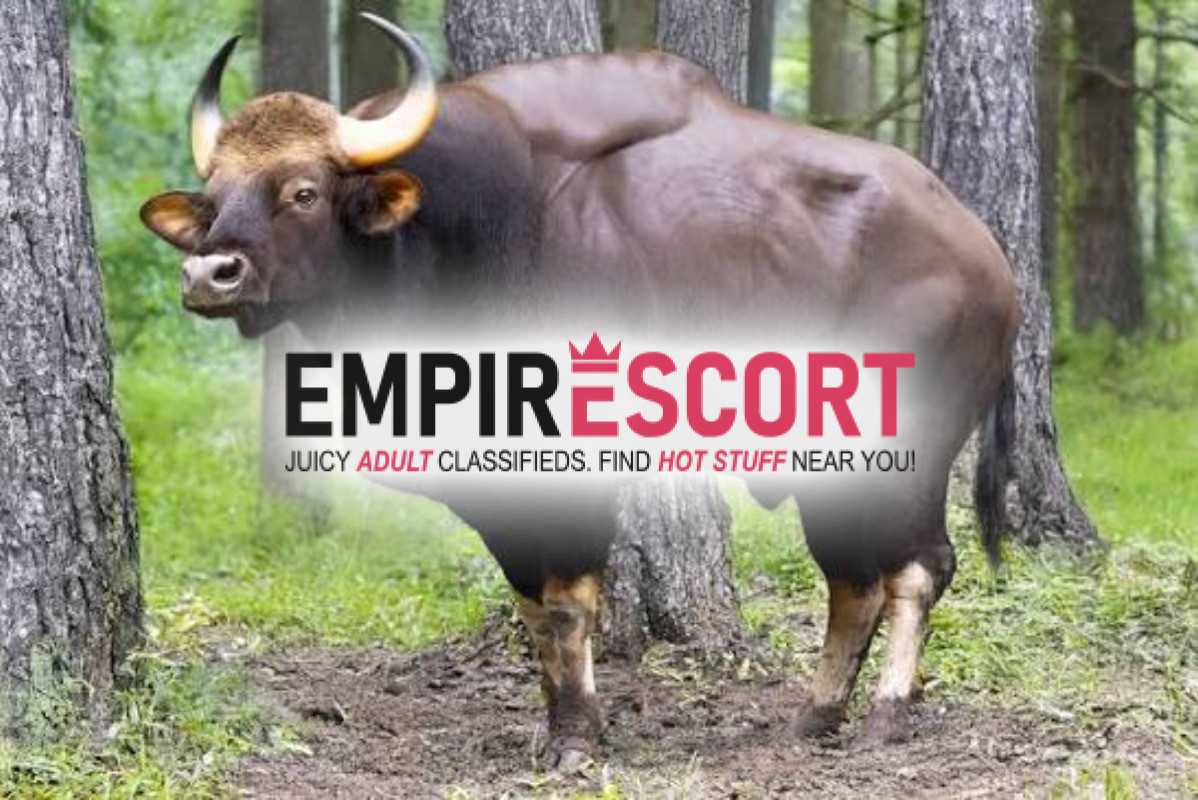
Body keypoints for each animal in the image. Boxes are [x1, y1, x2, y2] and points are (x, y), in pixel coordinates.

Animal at [140, 14, 1019, 769]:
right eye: (214, 196)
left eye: (303, 191)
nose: (210, 273)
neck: (457, 240)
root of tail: (987, 254)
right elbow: (534, 607)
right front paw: (562, 722)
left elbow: (566, 600)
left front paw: (576, 738)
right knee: (853, 578)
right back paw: (817, 714)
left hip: (909, 453)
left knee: (920, 568)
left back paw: (886, 715)